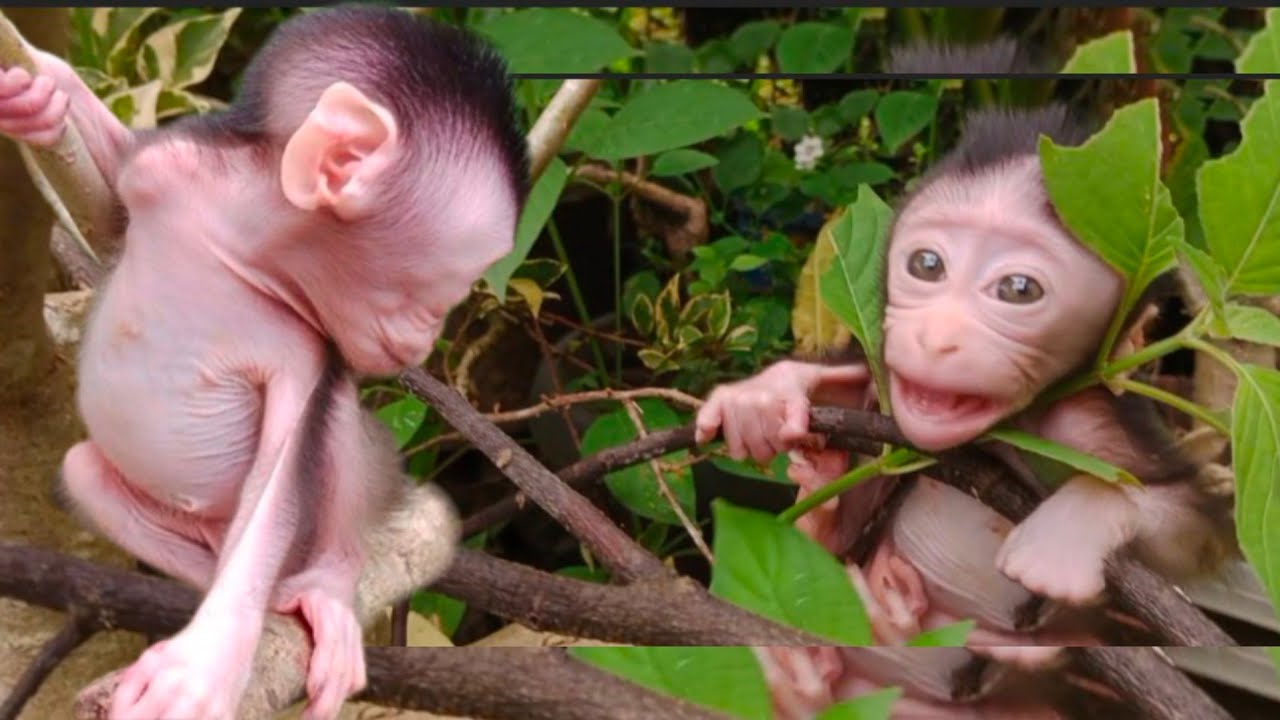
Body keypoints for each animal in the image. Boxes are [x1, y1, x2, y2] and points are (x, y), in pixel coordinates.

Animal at [0, 6, 527, 719]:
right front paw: (40, 93)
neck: (238, 251)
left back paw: (323, 588)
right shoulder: (168, 171)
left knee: (331, 428)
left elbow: (287, 464)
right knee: (87, 474)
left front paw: (204, 661)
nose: (431, 334)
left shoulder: (307, 350)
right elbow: (109, 196)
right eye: (442, 288)